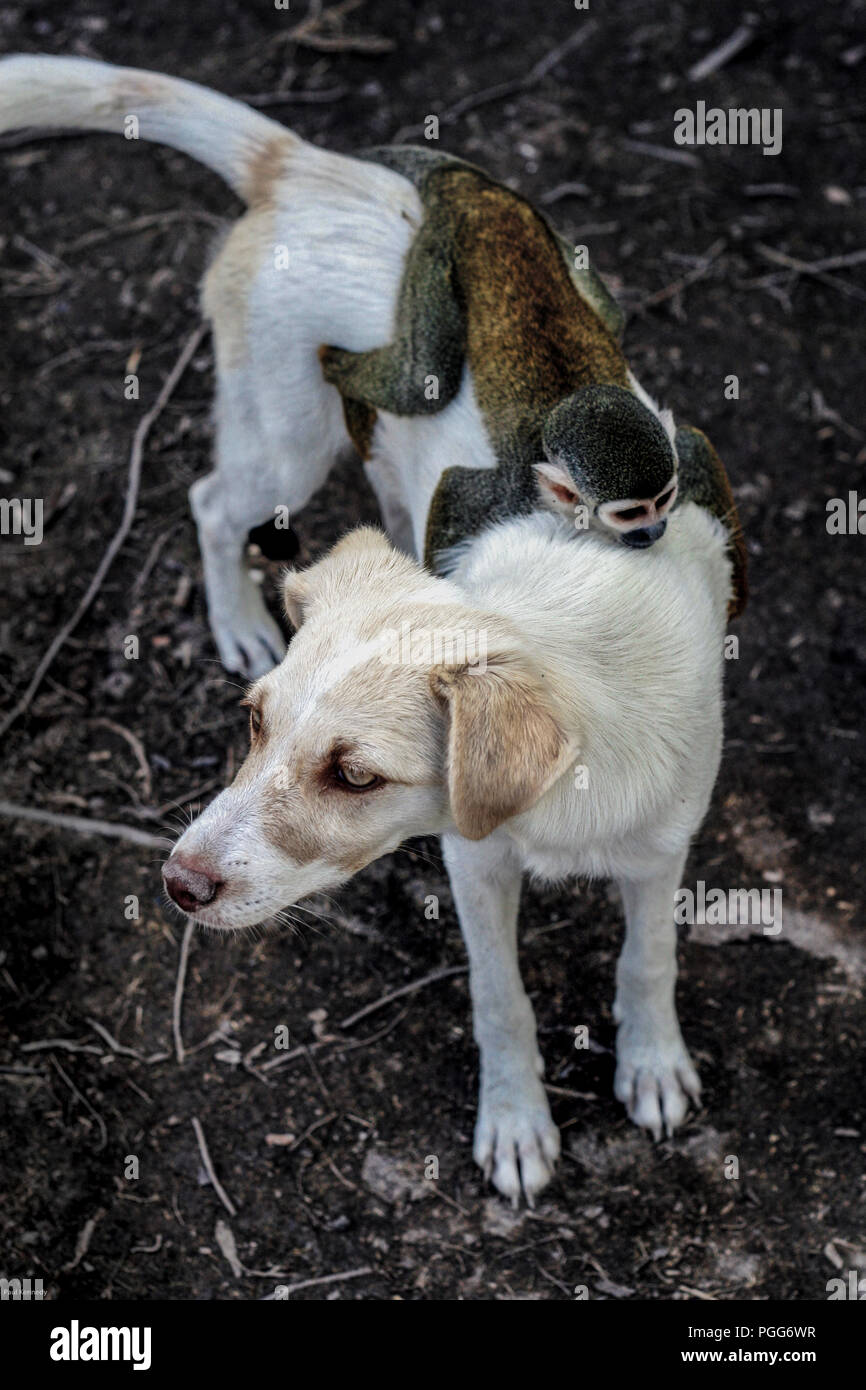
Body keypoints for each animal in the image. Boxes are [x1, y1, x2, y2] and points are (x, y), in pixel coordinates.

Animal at [320, 147, 746, 619]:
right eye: (631, 514)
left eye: (665, 499)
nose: (655, 531)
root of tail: (478, 196)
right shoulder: (510, 493)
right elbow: (454, 485)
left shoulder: (676, 462)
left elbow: (693, 443)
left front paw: (735, 597)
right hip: (437, 248)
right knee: (422, 384)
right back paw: (336, 362)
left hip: (538, 225)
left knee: (611, 316)